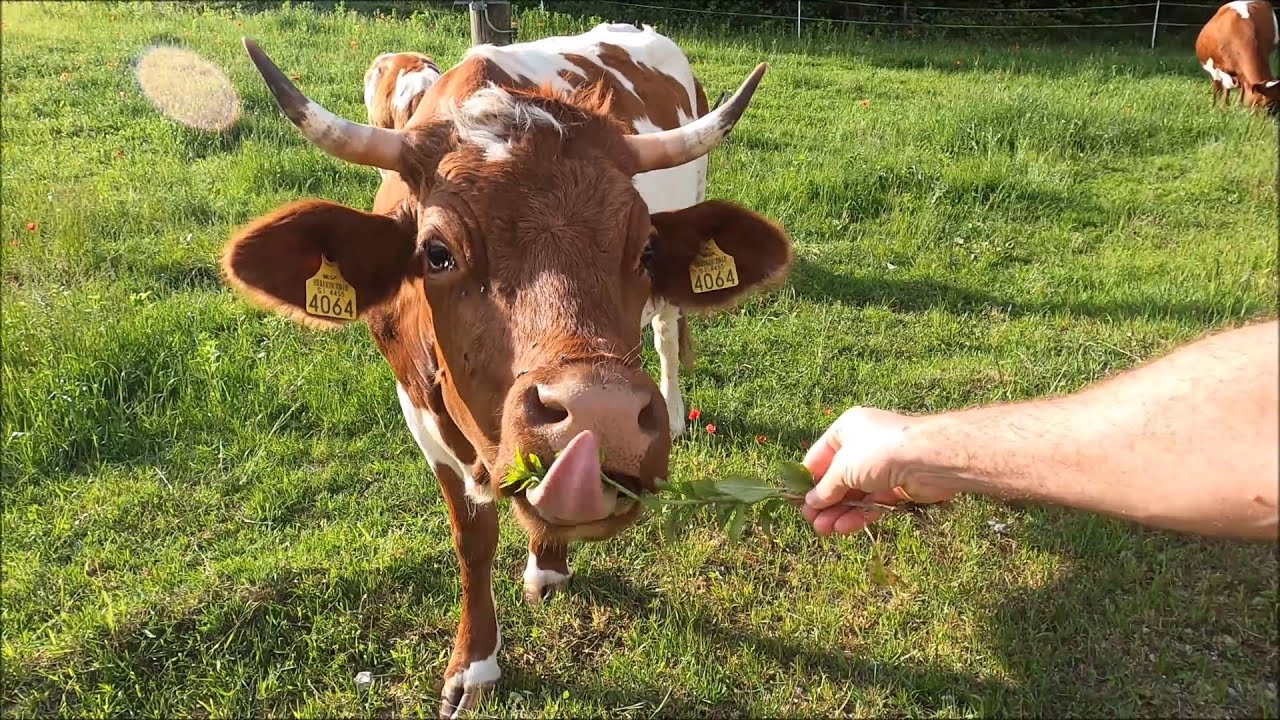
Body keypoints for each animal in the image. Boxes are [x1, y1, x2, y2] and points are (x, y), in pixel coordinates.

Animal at [220, 23, 792, 719]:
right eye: (436, 252)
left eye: (647, 249)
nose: (601, 419)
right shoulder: (420, 417)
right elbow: (473, 538)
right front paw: (475, 663)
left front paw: (545, 567)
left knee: (667, 331)